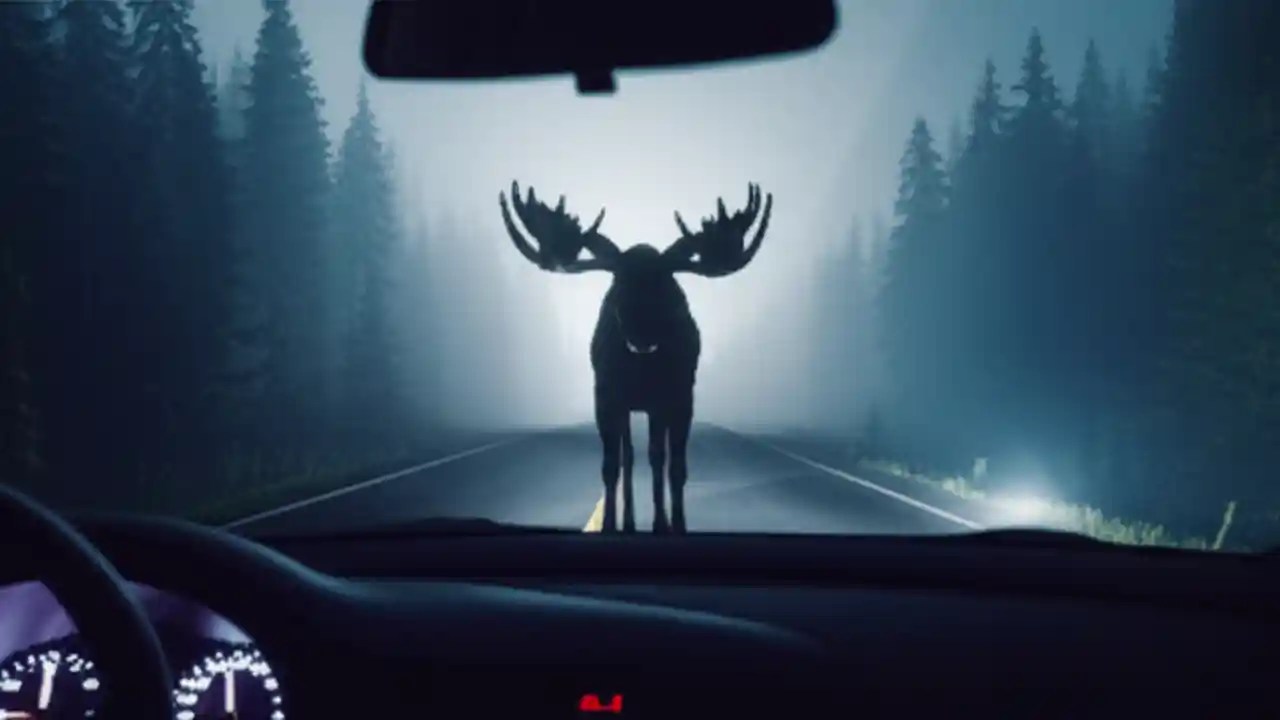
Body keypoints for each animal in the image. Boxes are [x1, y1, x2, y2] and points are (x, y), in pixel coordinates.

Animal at [499, 181, 772, 533]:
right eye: (619, 284)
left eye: (665, 285)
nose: (642, 333)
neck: (642, 367)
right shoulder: (606, 395)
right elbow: (611, 464)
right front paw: (608, 526)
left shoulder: (679, 396)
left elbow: (674, 465)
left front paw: (674, 526)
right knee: (629, 455)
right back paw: (627, 522)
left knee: (655, 456)